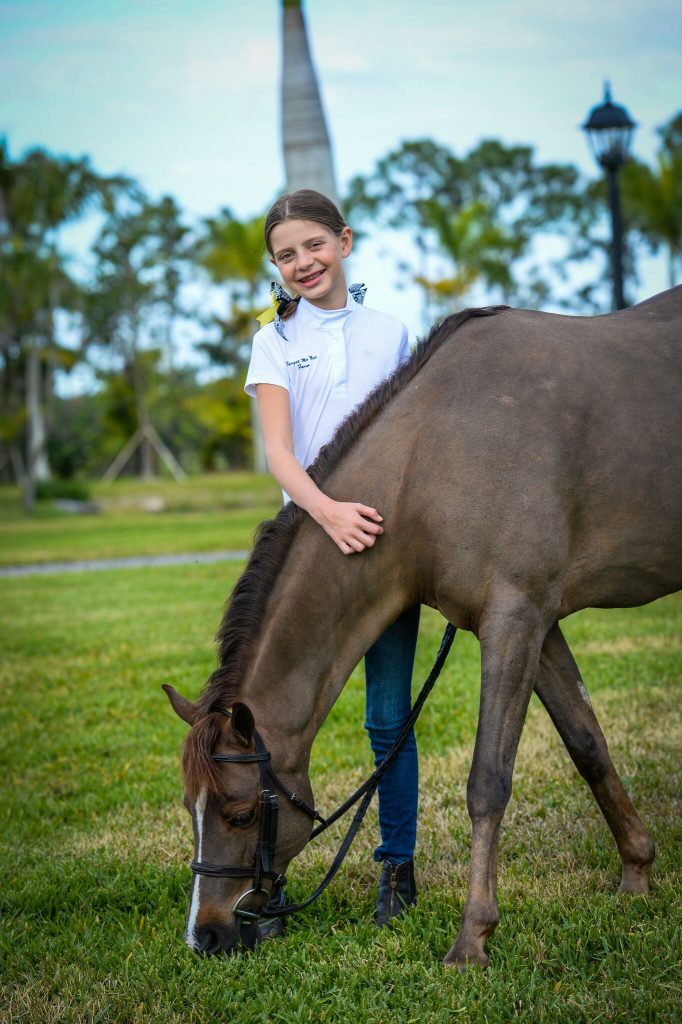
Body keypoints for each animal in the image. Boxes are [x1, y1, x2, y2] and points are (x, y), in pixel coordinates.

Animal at [165, 286, 681, 967]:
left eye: (242, 813)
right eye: (190, 808)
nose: (205, 935)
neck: (433, 460)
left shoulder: (514, 617)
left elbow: (488, 781)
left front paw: (473, 938)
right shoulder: (539, 626)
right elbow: (587, 745)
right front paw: (637, 873)